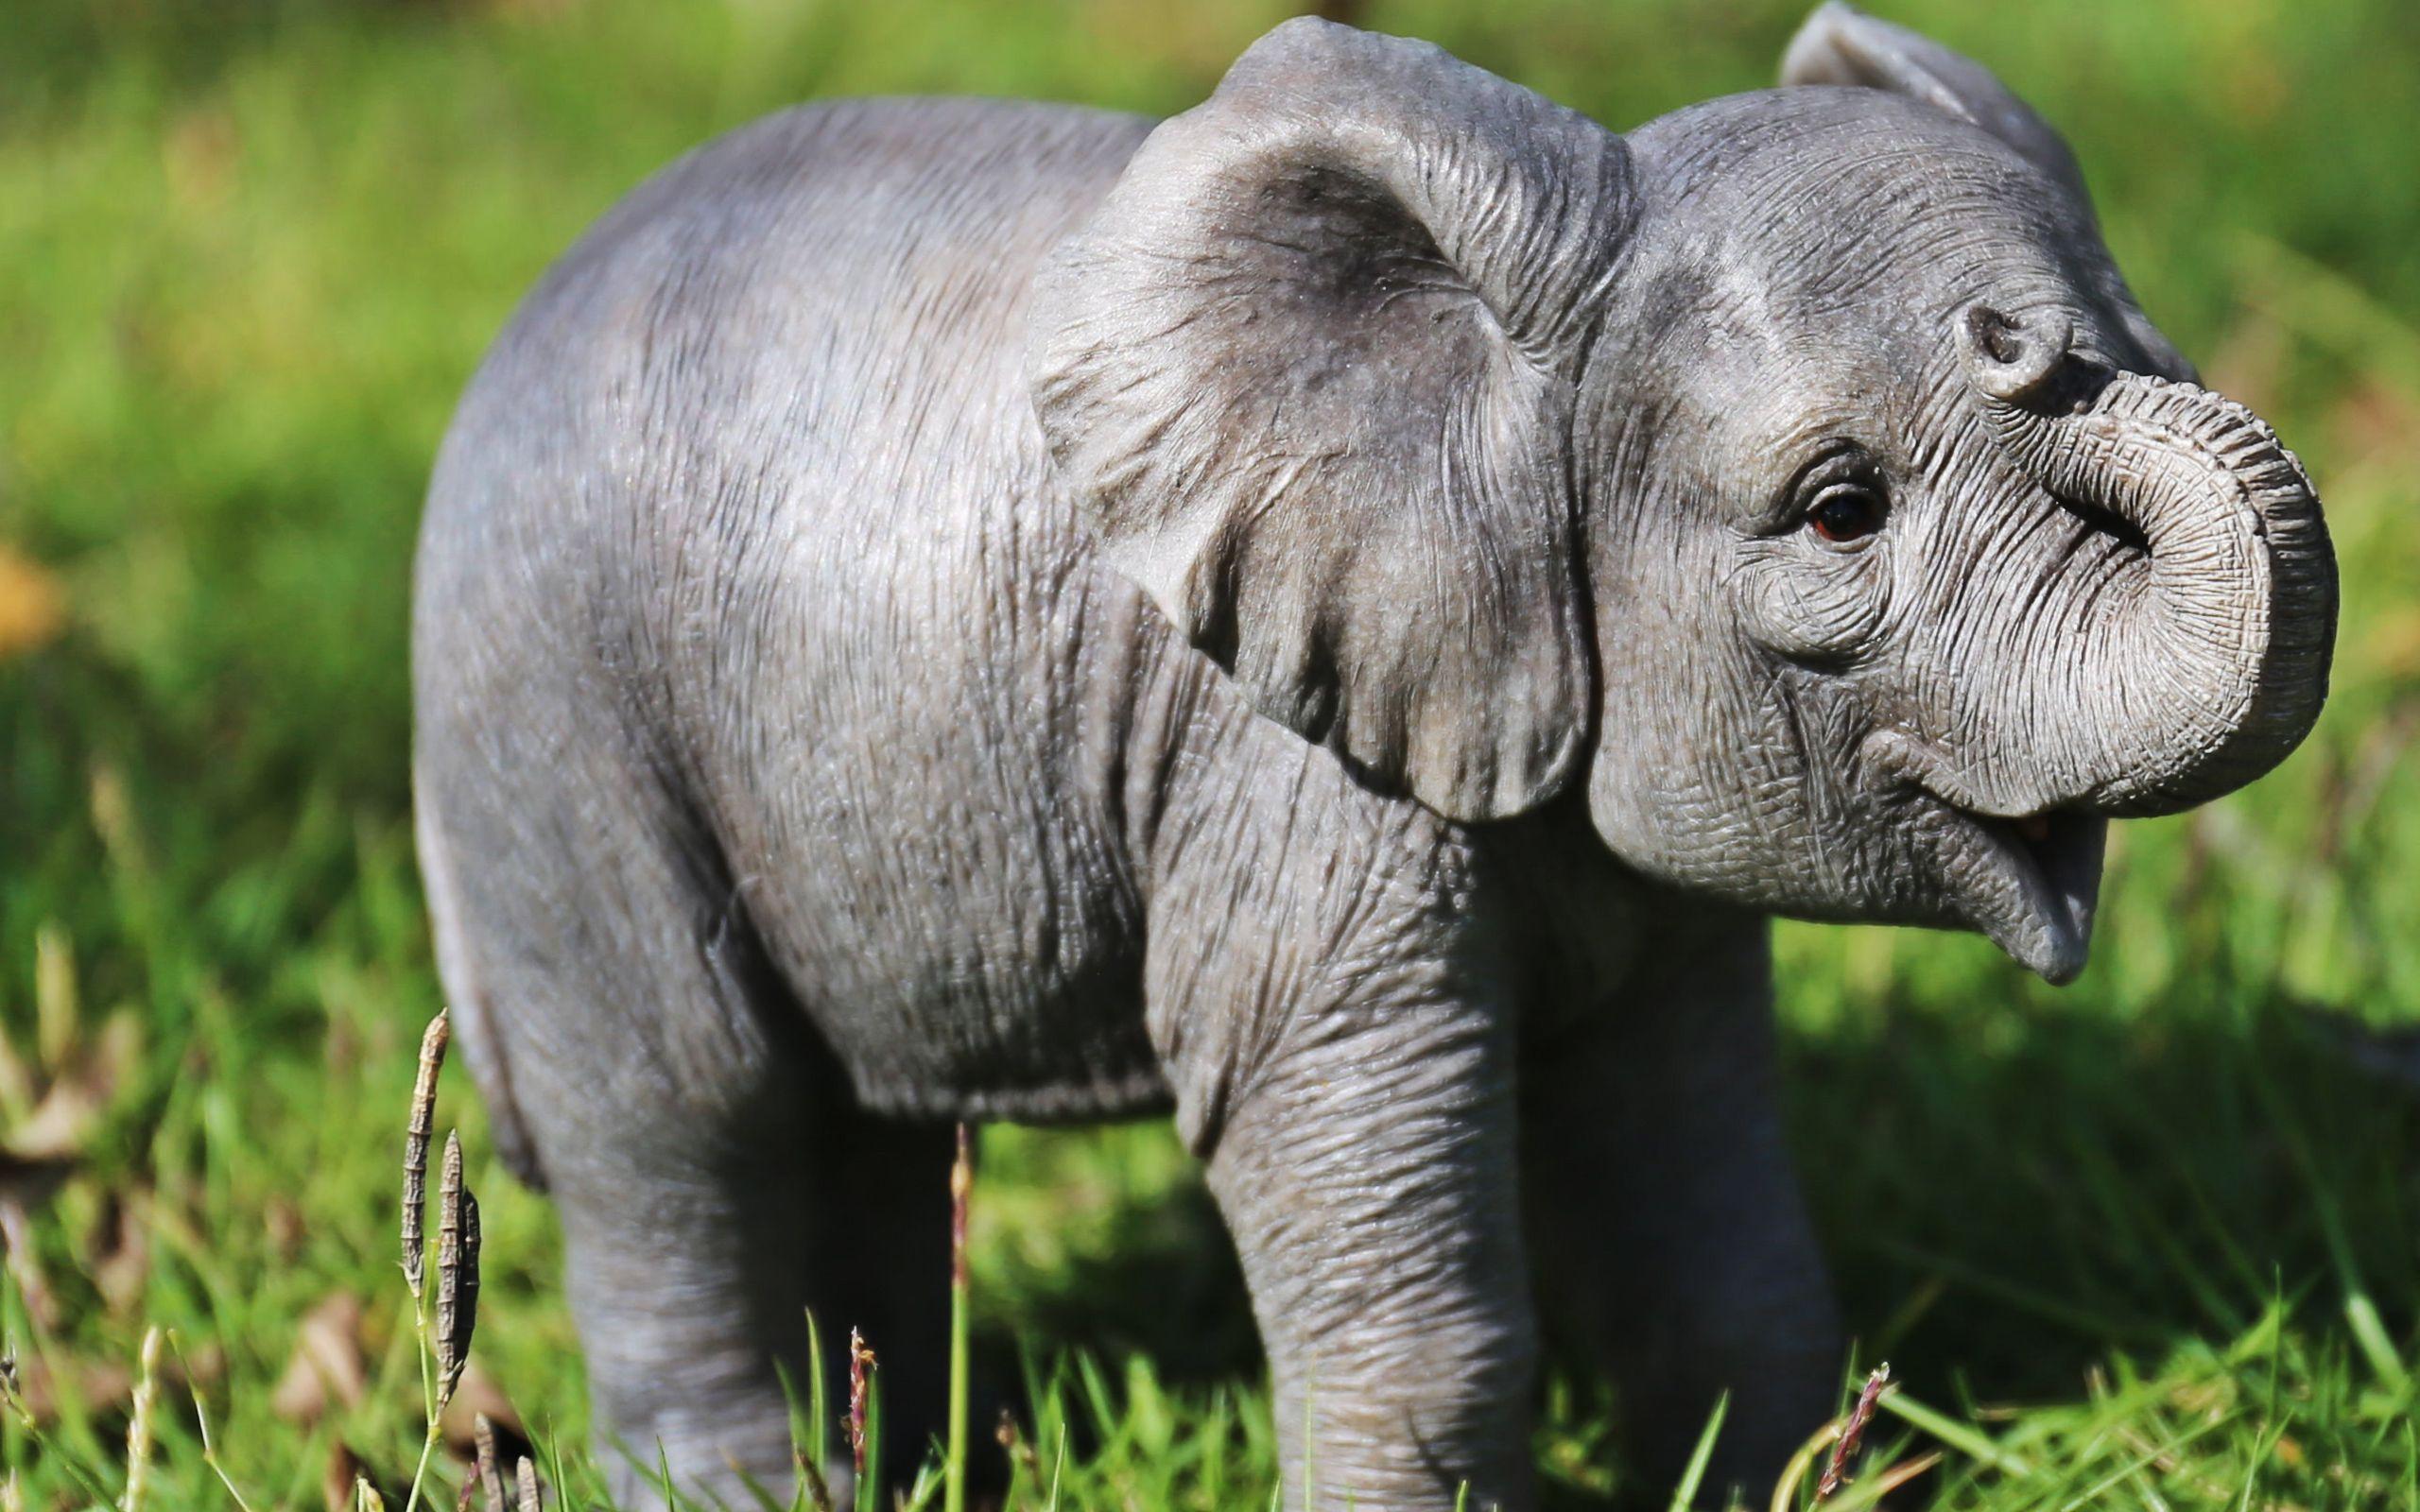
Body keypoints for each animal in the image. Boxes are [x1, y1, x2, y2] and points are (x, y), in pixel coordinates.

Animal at [410, 5, 2335, 1508]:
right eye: (1840, 508)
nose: (2043, 345)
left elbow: (1691, 1166)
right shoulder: (1282, 775)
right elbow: (1346, 1118)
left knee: (858, 1127)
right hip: (554, 734)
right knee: (691, 1115)